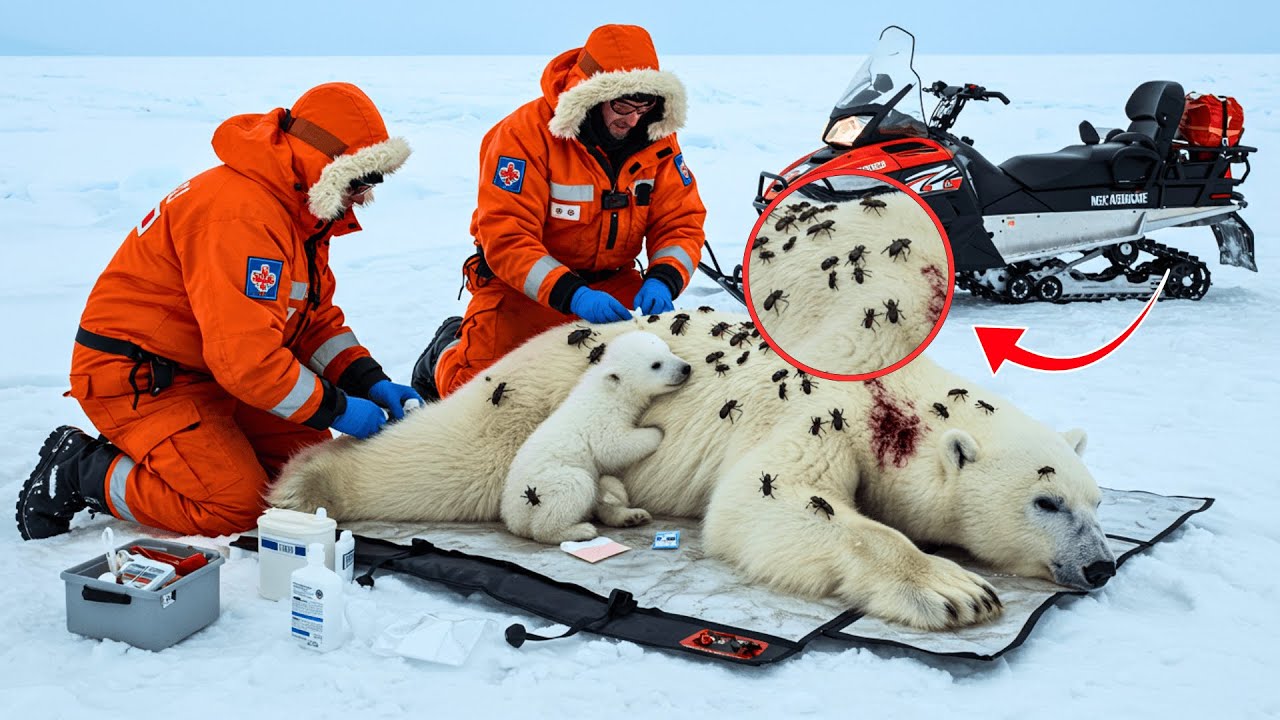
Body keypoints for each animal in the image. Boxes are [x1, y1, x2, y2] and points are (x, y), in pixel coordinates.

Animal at [500, 331, 691, 544]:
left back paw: (631, 515)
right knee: (573, 486)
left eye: (668, 350)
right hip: (541, 487)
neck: (608, 388)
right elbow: (612, 446)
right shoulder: (603, 418)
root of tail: (512, 519)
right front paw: (657, 431)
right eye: (656, 364)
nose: (686, 368)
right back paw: (579, 530)